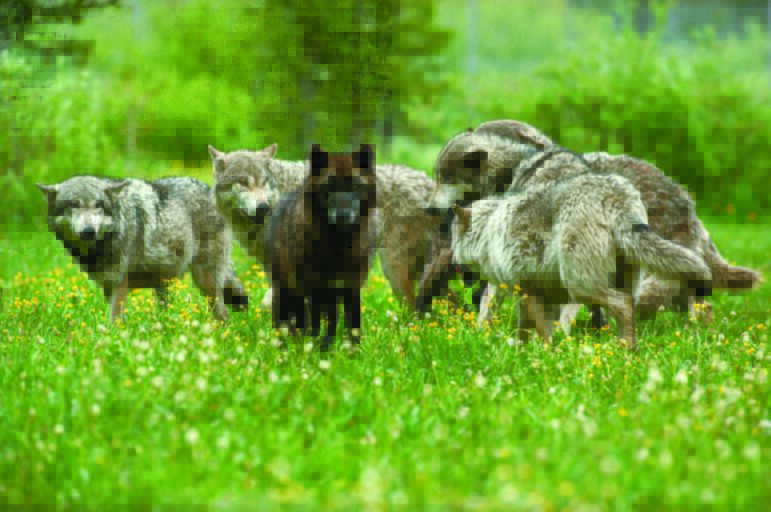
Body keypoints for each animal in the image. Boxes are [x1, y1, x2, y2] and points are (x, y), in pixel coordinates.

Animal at [37, 176, 248, 322]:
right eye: (73, 205)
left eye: (98, 205)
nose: (89, 231)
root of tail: (210, 189)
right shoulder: (108, 287)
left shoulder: (120, 285)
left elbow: (113, 321)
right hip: (164, 285)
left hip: (205, 282)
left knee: (224, 314)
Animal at [264, 144, 377, 350]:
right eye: (329, 187)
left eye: (355, 186)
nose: (343, 214)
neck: (338, 246)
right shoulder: (312, 289)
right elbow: (315, 326)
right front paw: (315, 349)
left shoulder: (351, 287)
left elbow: (352, 326)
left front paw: (352, 353)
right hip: (286, 290)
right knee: (286, 322)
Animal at [451, 173, 712, 351]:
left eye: (453, 241)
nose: (452, 261)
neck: (489, 229)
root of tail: (614, 197)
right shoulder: (539, 297)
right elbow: (527, 330)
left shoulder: (529, 293)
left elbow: (542, 333)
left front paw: (545, 356)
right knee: (626, 311)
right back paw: (627, 354)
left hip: (580, 287)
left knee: (623, 304)